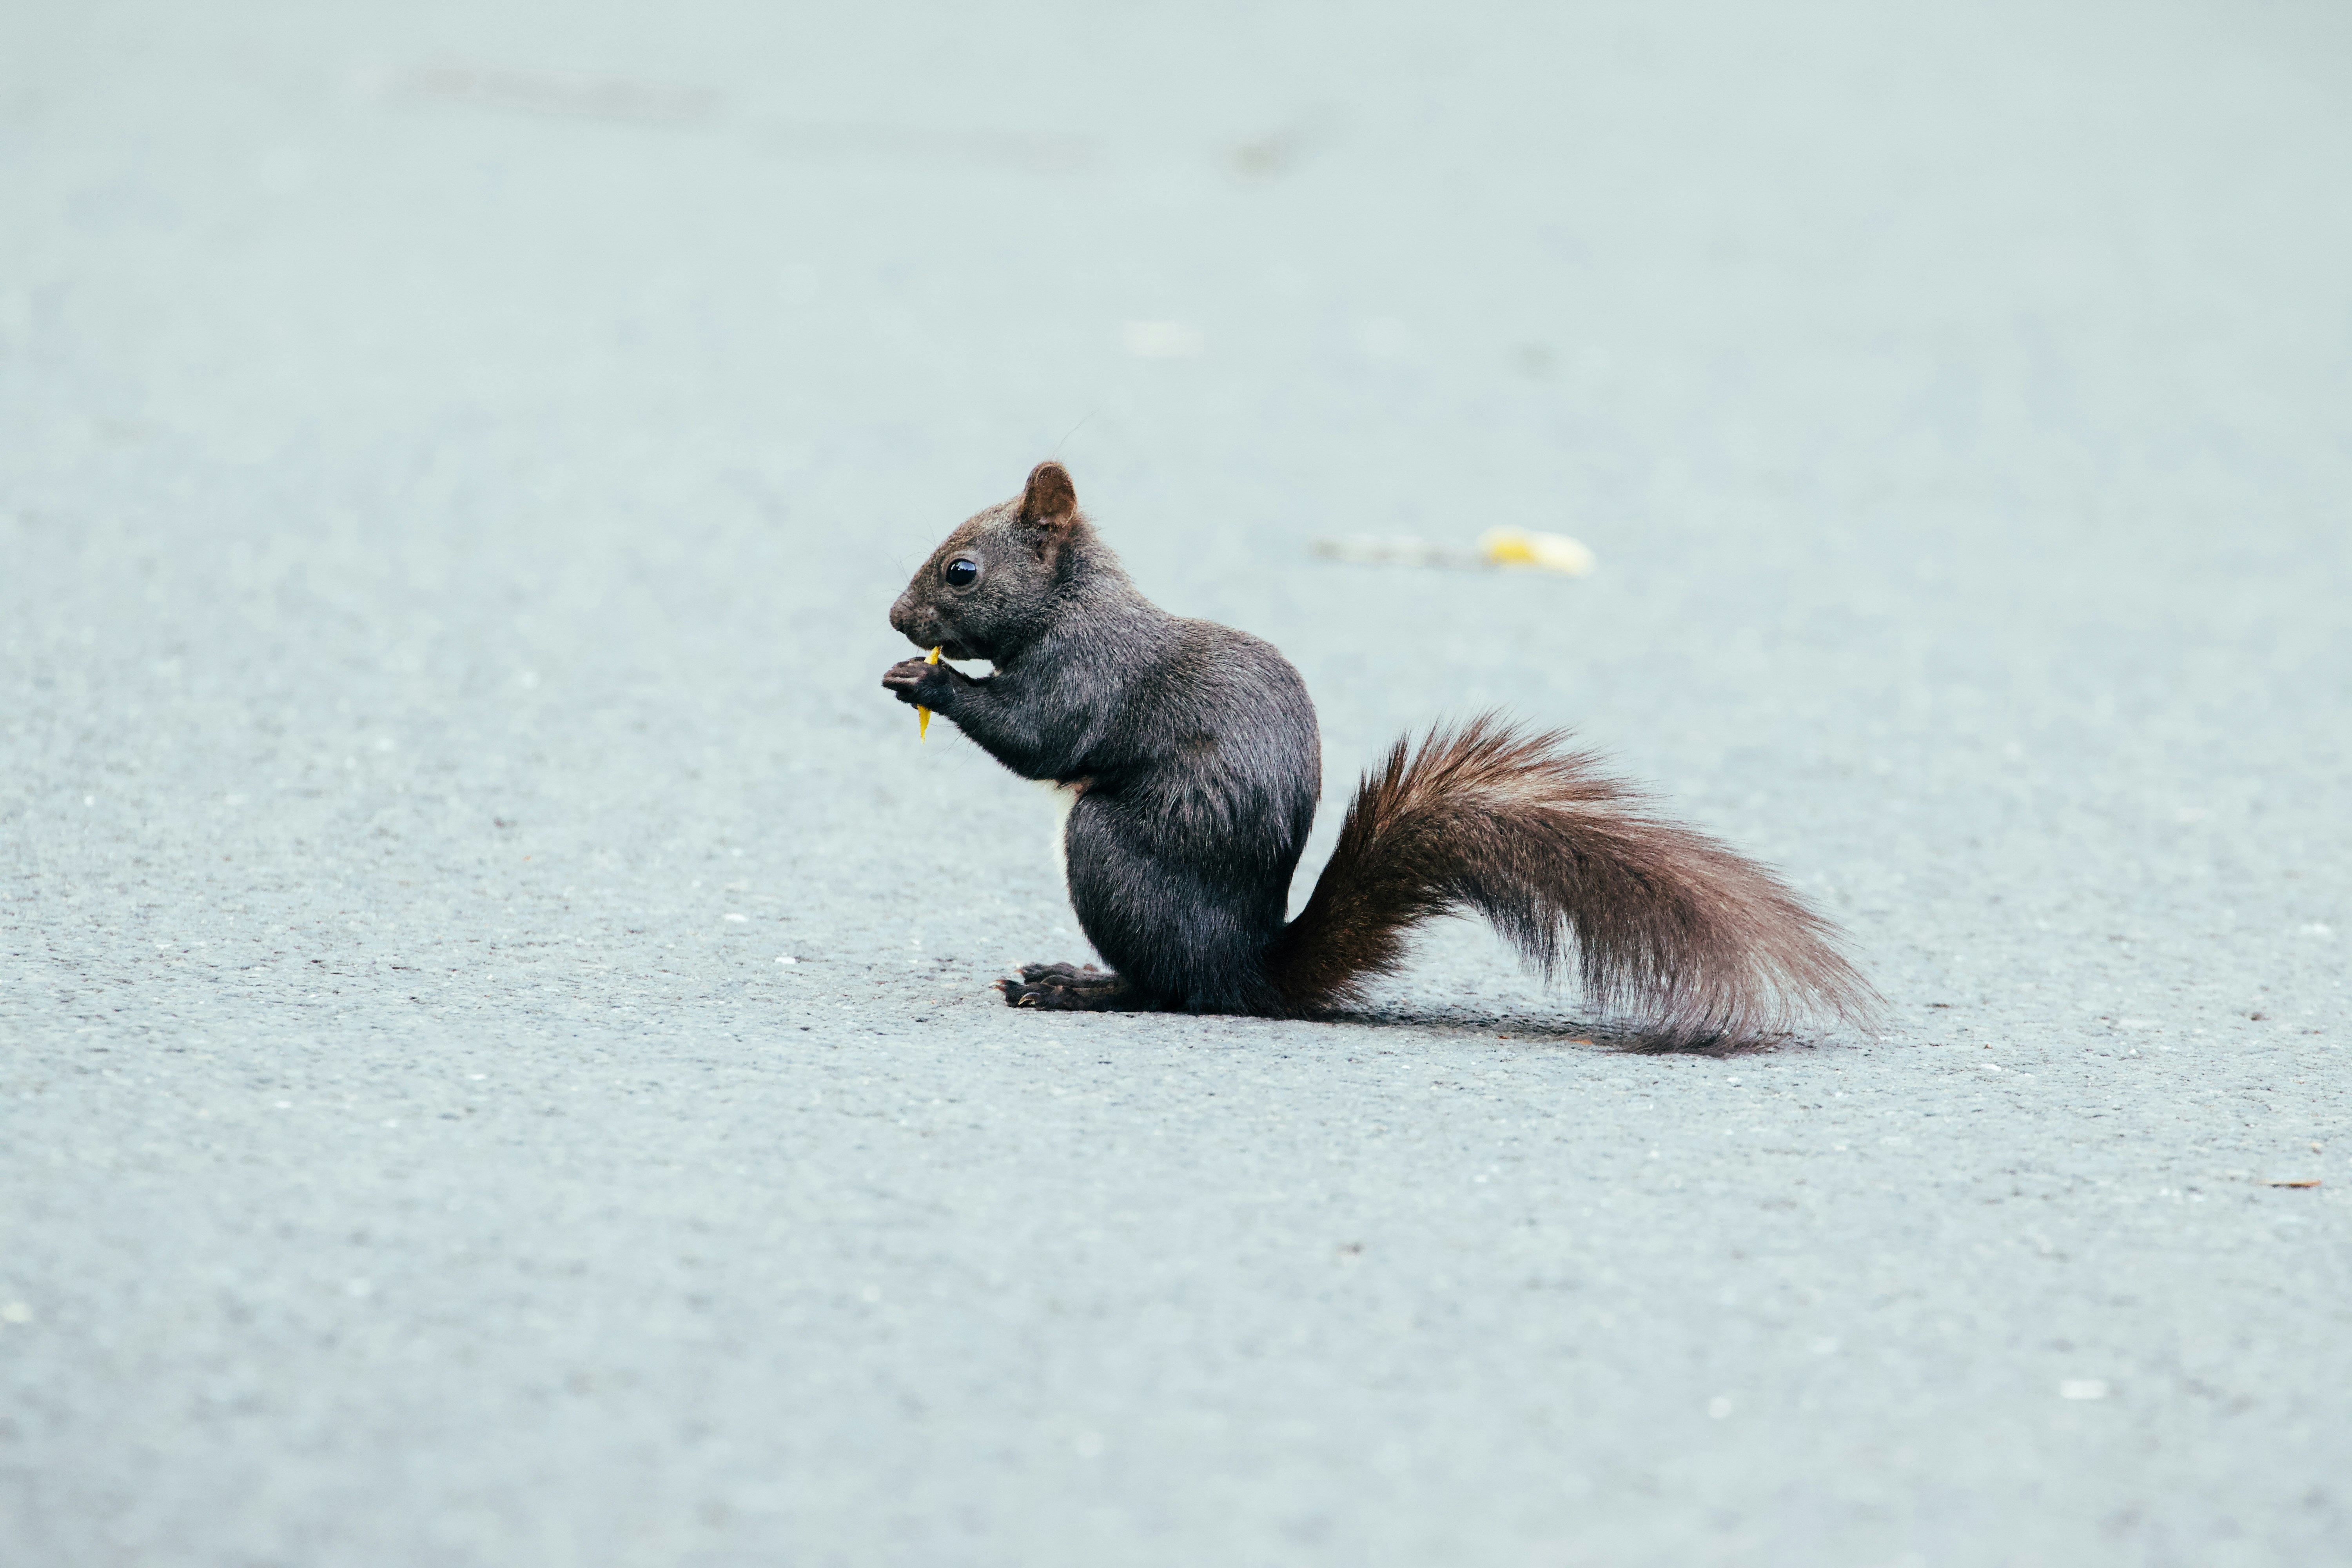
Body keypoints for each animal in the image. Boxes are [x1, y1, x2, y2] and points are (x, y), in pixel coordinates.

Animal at [882, 461, 1881, 1046]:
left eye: (961, 571)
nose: (897, 618)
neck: (1073, 603)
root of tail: (1250, 968)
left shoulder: (1091, 674)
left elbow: (1038, 736)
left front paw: (930, 683)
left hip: (1111, 852)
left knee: (1171, 990)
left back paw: (1082, 987)